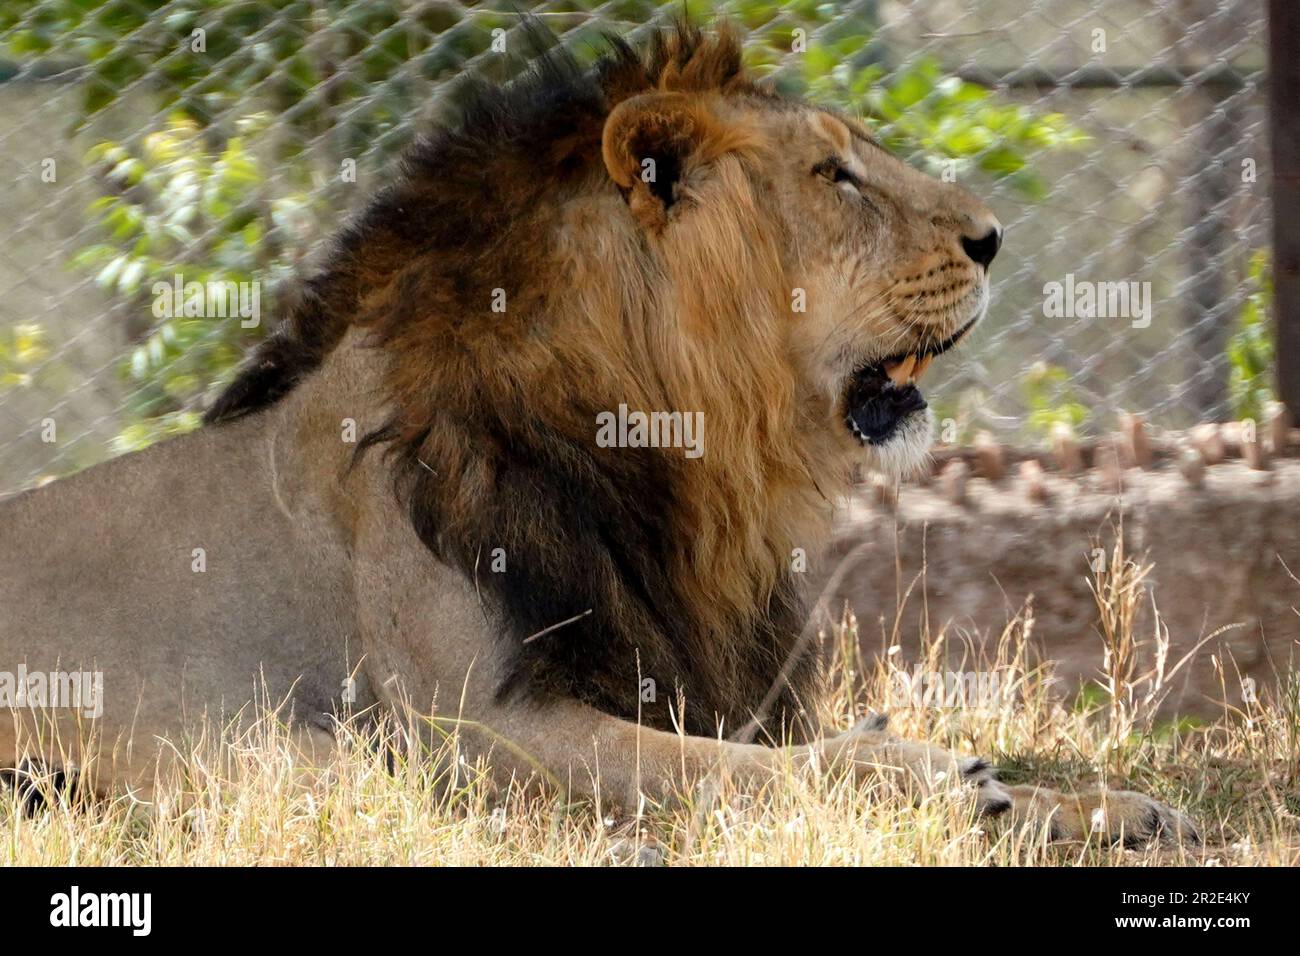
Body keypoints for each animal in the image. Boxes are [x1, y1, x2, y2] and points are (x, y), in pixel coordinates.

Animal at [0, 21, 1196, 845]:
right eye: (835, 175)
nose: (992, 237)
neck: (678, 466)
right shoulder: (469, 723)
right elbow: (714, 768)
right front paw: (916, 772)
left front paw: (1106, 805)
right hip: (256, 738)